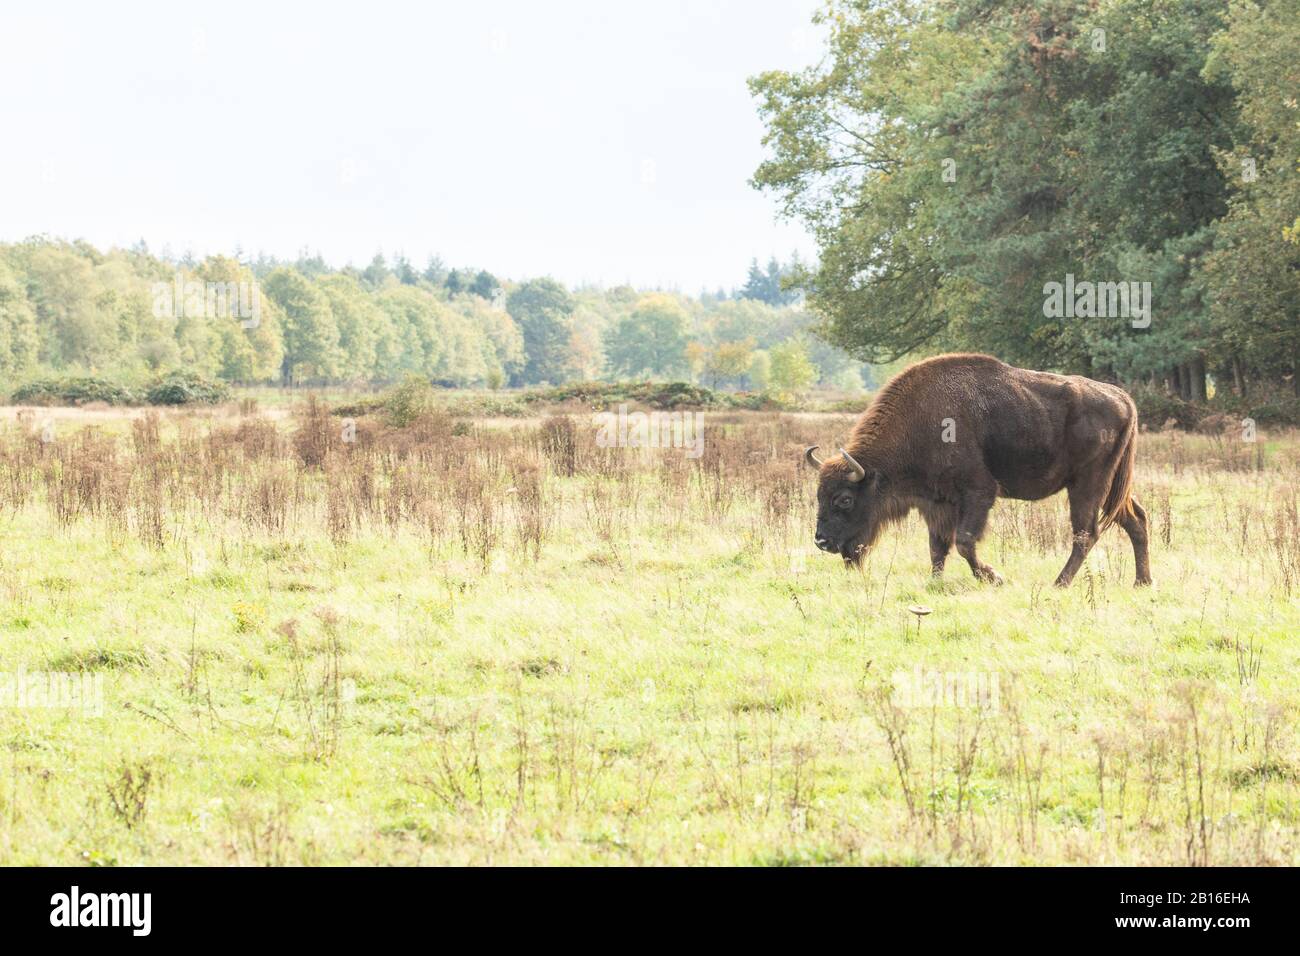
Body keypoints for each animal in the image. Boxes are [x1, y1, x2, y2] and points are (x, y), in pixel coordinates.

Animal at [805, 353, 1151, 587]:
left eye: (845, 499)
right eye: (819, 495)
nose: (821, 541)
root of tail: (1123, 398)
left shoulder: (978, 493)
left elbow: (964, 541)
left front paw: (994, 577)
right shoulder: (936, 503)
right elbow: (937, 546)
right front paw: (935, 583)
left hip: (1087, 485)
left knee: (1086, 533)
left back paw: (1059, 584)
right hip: (1112, 488)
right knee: (1136, 519)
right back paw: (1142, 582)